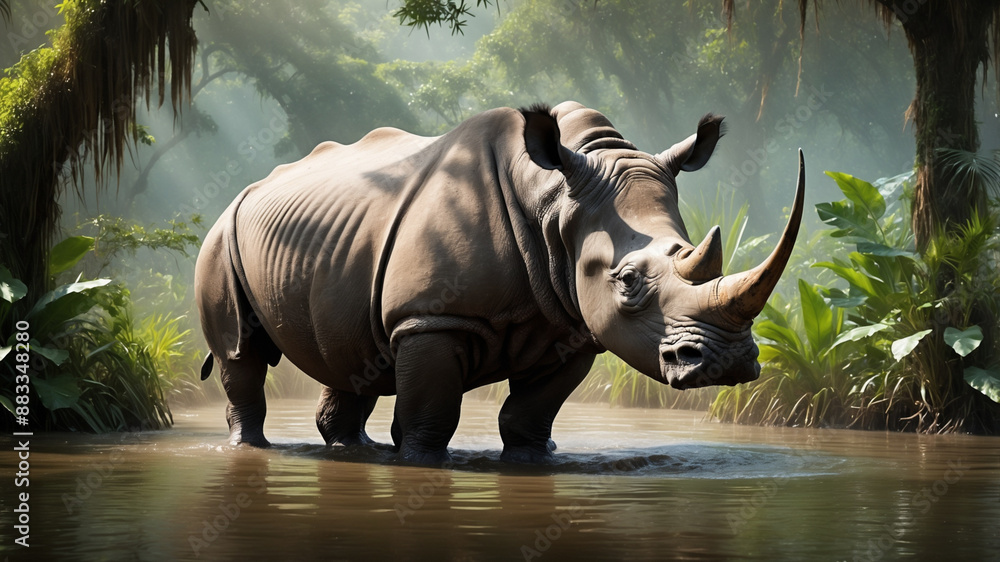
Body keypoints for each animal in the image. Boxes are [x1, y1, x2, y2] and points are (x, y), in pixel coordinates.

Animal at [195, 101, 804, 464]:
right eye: (628, 281)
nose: (728, 363)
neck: (555, 202)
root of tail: (246, 189)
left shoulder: (573, 327)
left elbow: (530, 415)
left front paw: (532, 461)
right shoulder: (431, 317)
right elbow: (430, 418)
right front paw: (420, 464)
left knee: (350, 351)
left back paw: (350, 448)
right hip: (221, 233)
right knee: (241, 351)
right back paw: (250, 446)